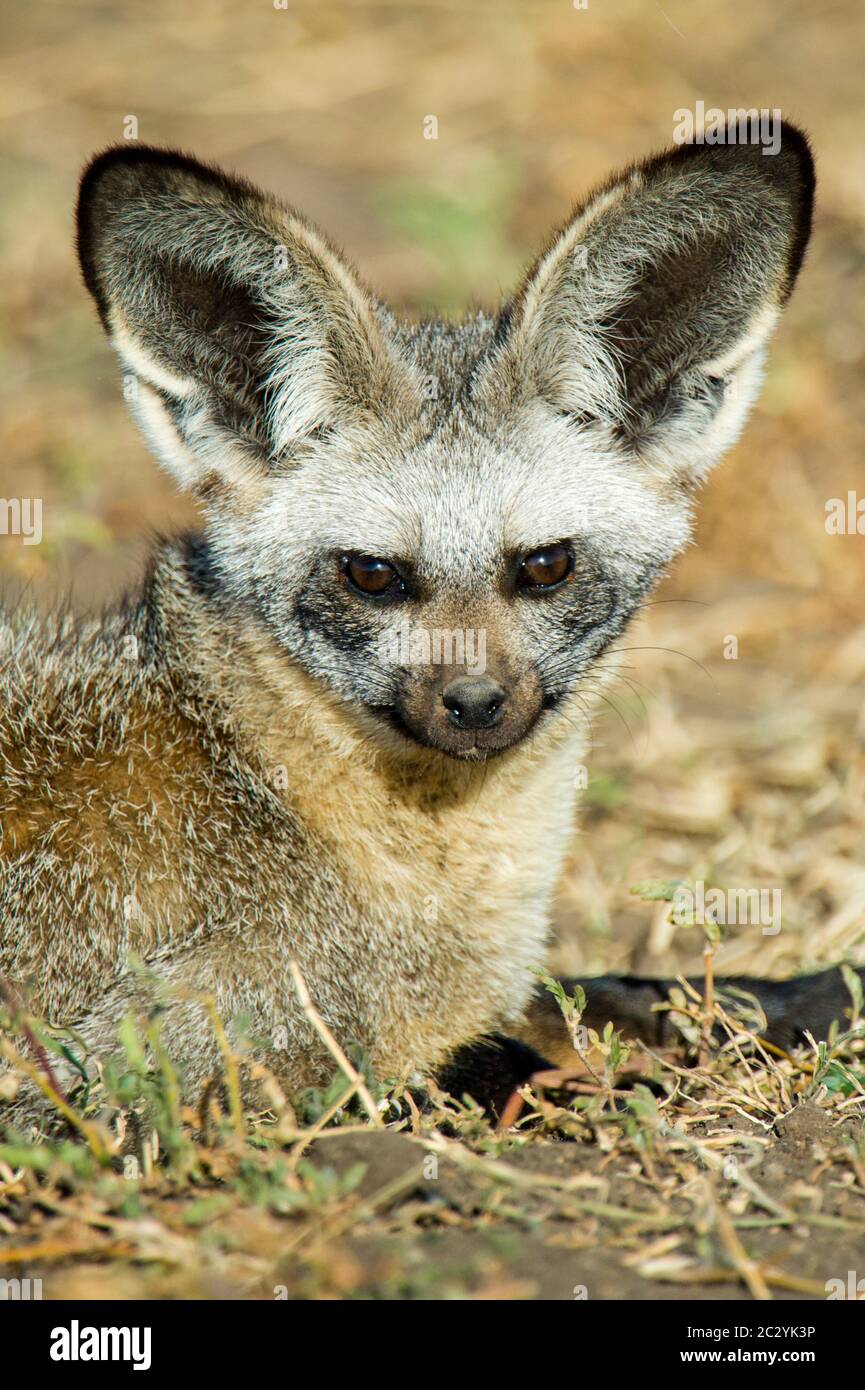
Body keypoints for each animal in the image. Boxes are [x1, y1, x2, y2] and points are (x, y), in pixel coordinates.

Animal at [1, 124, 862, 1124]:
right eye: (372, 575)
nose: (475, 704)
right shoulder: (126, 1078)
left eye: (544, 565)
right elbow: (487, 1069)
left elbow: (628, 992)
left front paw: (802, 996)